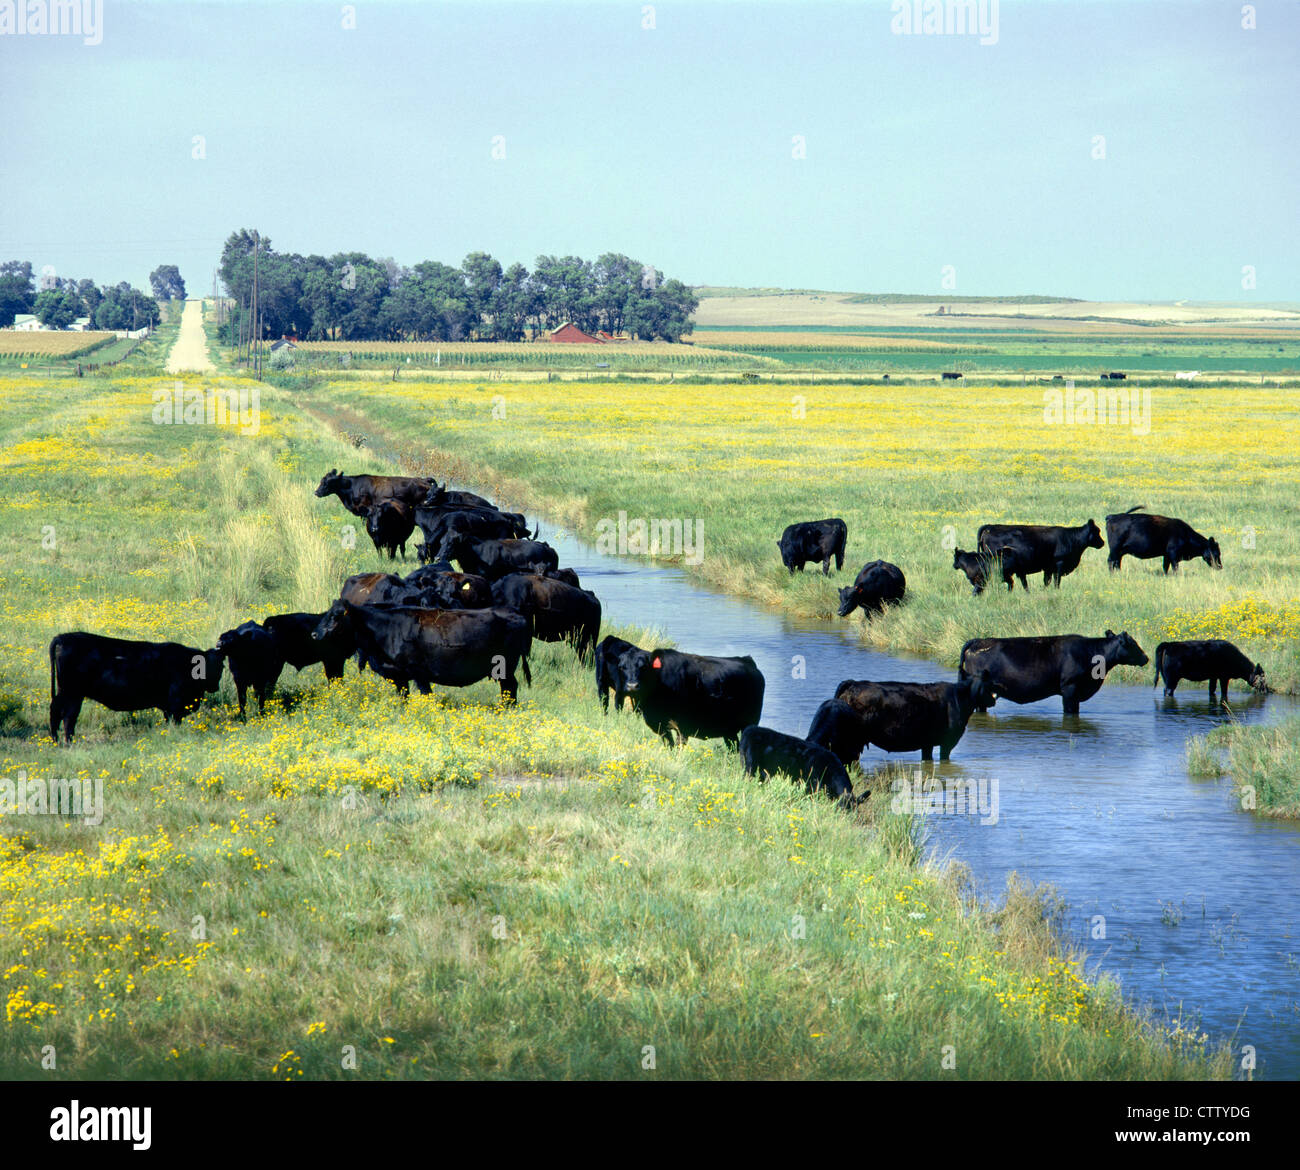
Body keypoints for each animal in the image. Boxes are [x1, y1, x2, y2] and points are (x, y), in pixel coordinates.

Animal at [48, 633, 224, 744]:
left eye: (220, 665)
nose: (215, 687)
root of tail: (63, 637)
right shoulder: (175, 705)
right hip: (72, 694)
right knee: (67, 717)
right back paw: (68, 742)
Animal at [312, 602, 533, 702]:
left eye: (336, 616)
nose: (315, 634)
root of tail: (514, 612)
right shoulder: (399, 676)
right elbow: (404, 697)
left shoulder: (418, 672)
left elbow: (426, 695)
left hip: (505, 667)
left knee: (510, 687)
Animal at [614, 646, 765, 748]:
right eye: (621, 667)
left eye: (643, 667)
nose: (632, 686)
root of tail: (746, 660)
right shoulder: (659, 725)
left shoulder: (683, 726)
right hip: (729, 729)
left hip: (750, 723)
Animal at [832, 673, 995, 761]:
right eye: (989, 686)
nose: (993, 700)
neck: (959, 697)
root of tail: (853, 683)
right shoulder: (948, 742)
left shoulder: (928, 744)